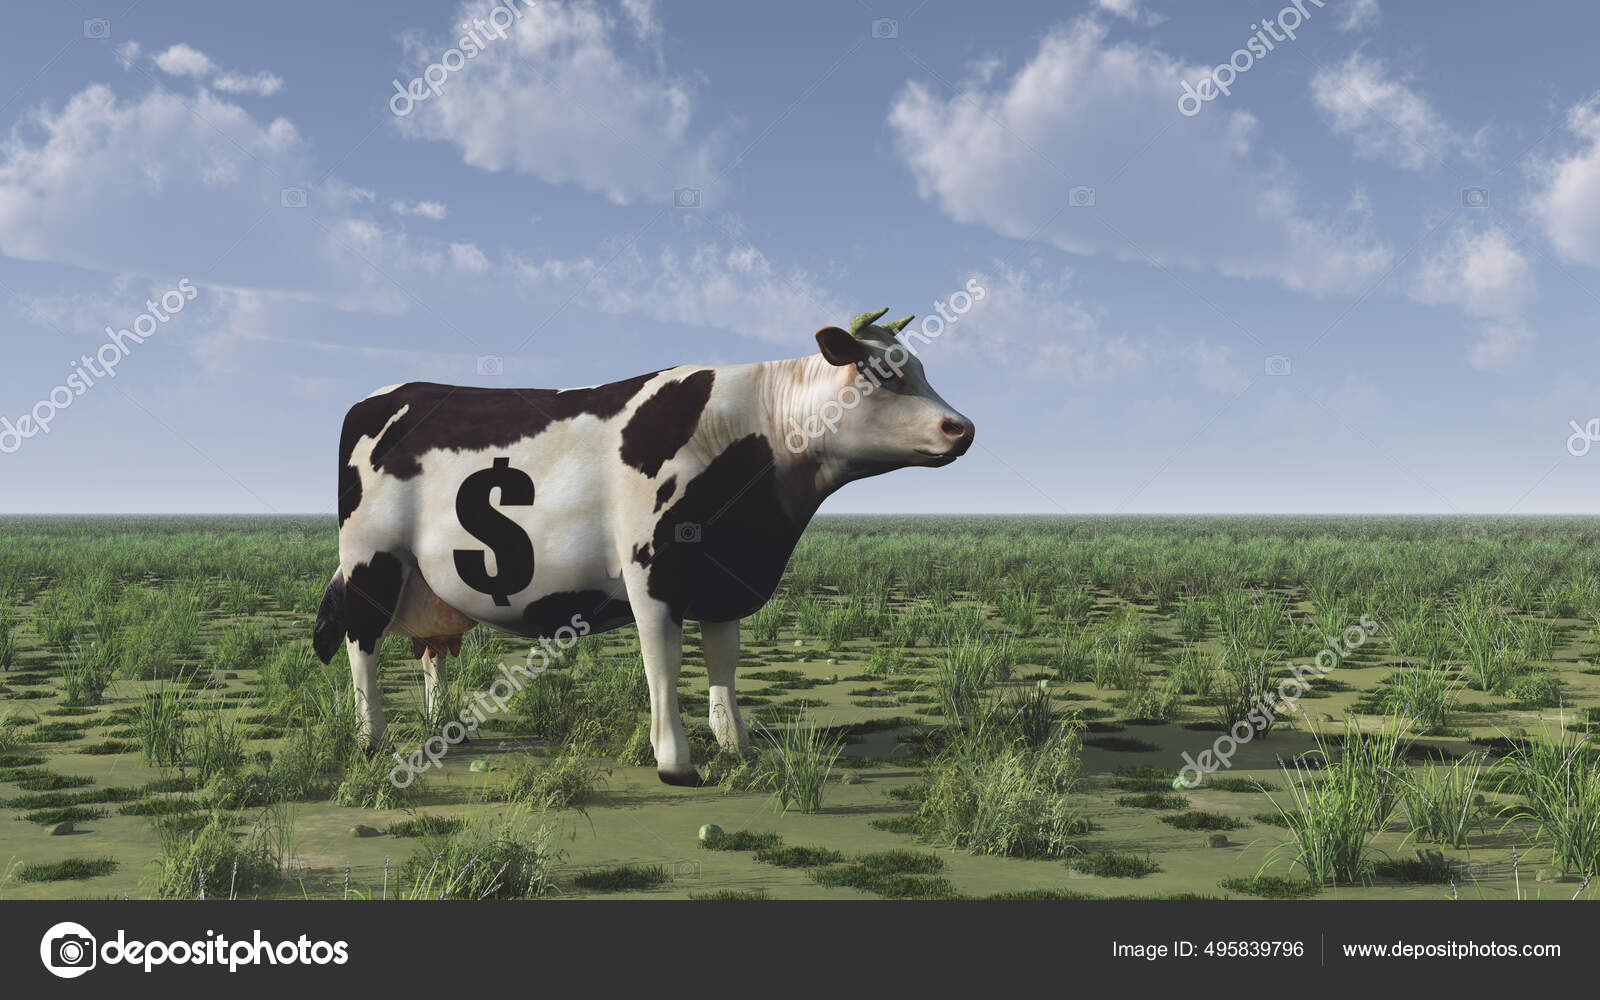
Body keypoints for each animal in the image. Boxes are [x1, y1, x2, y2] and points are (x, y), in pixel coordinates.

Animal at [311, 308, 974, 785]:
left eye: (918, 370)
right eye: (881, 374)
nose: (961, 427)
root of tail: (382, 394)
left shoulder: (724, 578)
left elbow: (724, 661)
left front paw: (735, 745)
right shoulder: (653, 570)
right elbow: (665, 660)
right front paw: (675, 761)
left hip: (424, 584)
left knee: (430, 652)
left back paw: (443, 727)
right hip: (372, 561)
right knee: (362, 644)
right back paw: (372, 739)